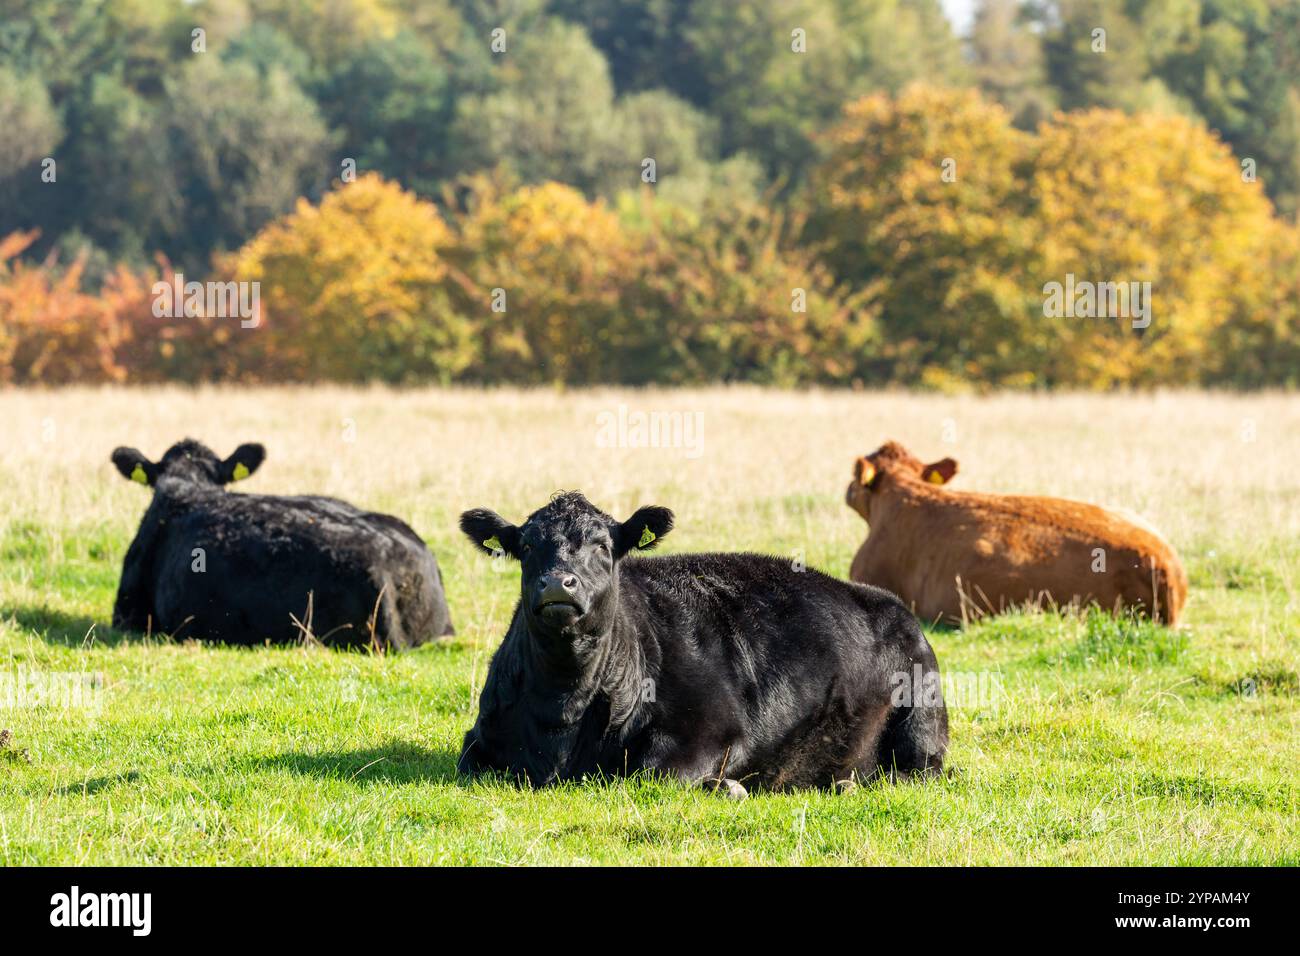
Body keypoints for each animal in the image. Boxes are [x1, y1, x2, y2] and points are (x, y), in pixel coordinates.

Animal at [456, 491, 948, 796]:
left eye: (602, 546)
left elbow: (654, 774)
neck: (564, 707)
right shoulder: (479, 740)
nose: (558, 582)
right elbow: (471, 763)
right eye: (525, 545)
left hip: (921, 724)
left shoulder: (715, 732)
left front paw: (729, 787)